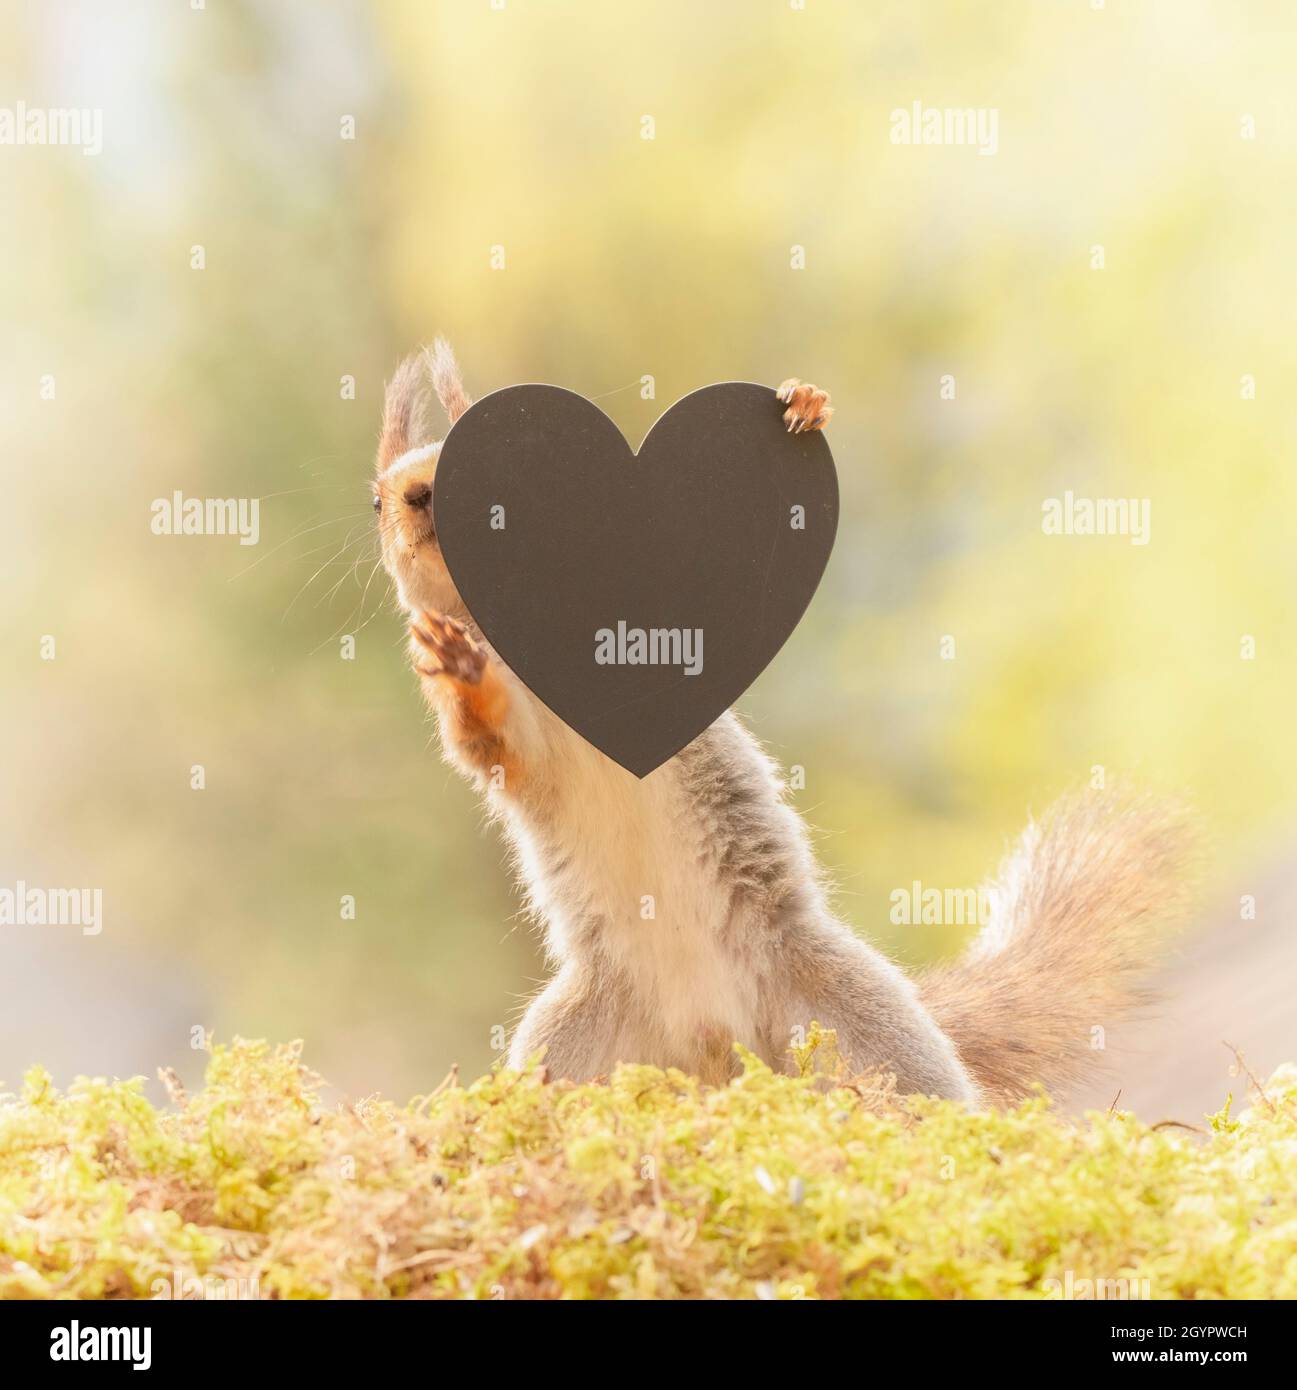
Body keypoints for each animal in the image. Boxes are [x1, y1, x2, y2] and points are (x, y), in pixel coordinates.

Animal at [371, 340, 1194, 1105]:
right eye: (374, 503)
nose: (418, 495)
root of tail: (713, 1048)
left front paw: (803, 403)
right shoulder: (523, 744)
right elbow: (492, 742)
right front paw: (457, 664)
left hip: (855, 1018)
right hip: (573, 1049)